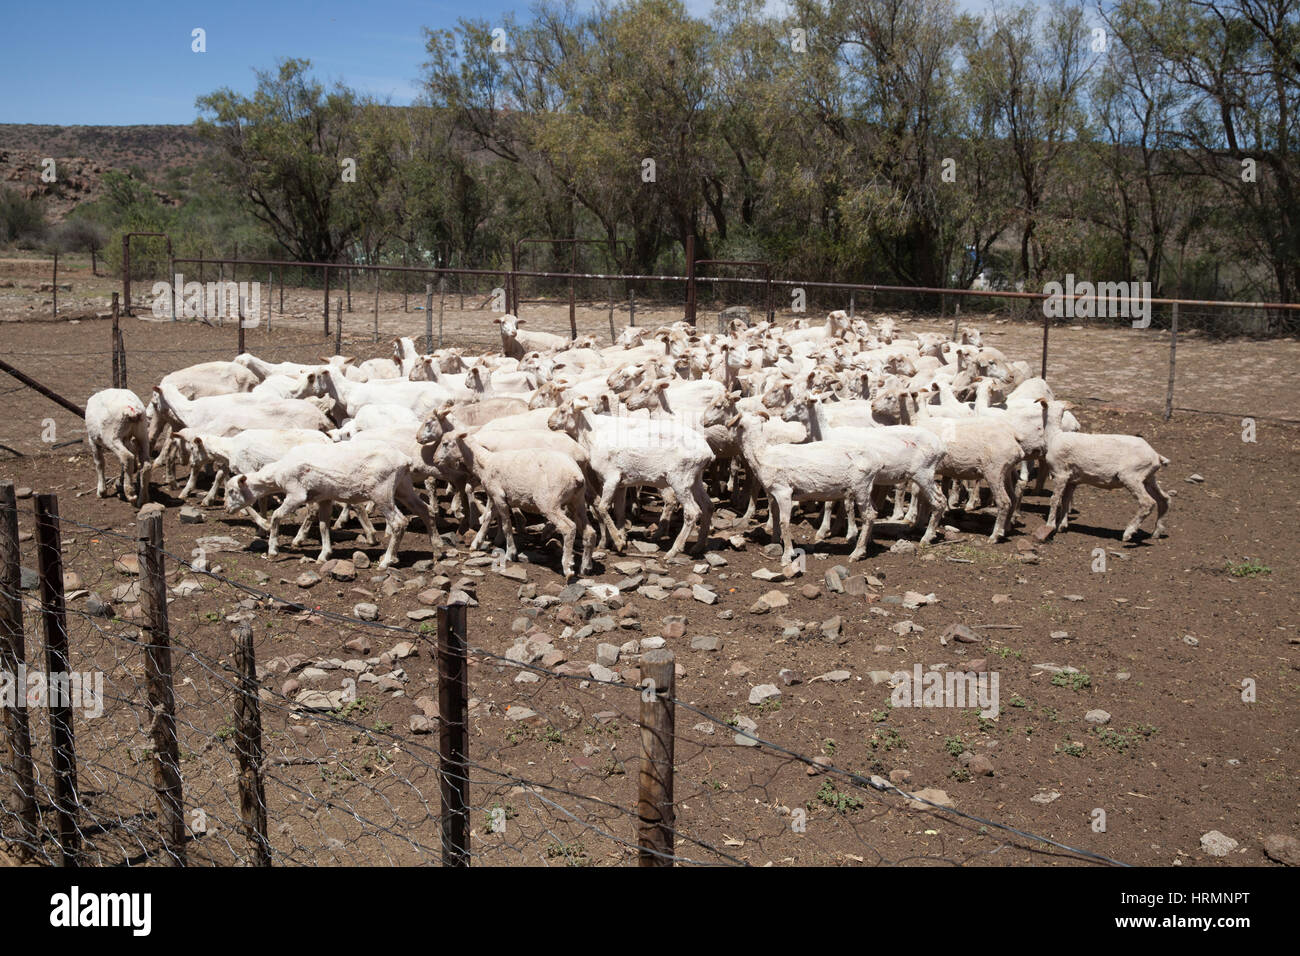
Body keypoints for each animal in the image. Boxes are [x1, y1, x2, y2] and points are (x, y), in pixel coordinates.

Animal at [224, 440, 438, 569]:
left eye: (232, 491)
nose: (226, 508)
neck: (276, 473)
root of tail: (404, 460)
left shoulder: (296, 494)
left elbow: (276, 515)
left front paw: (273, 550)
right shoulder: (324, 497)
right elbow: (323, 526)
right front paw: (324, 554)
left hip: (381, 492)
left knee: (399, 523)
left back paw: (386, 561)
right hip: (403, 486)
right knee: (425, 511)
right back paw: (437, 550)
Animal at [1038, 399, 1170, 541]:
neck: (1054, 435)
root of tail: (1156, 455)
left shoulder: (1060, 474)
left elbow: (1055, 499)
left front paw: (1050, 526)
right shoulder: (1072, 480)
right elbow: (1066, 501)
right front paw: (1062, 526)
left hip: (1131, 475)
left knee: (1148, 502)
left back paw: (1128, 533)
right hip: (1148, 477)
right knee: (1164, 499)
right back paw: (1156, 532)